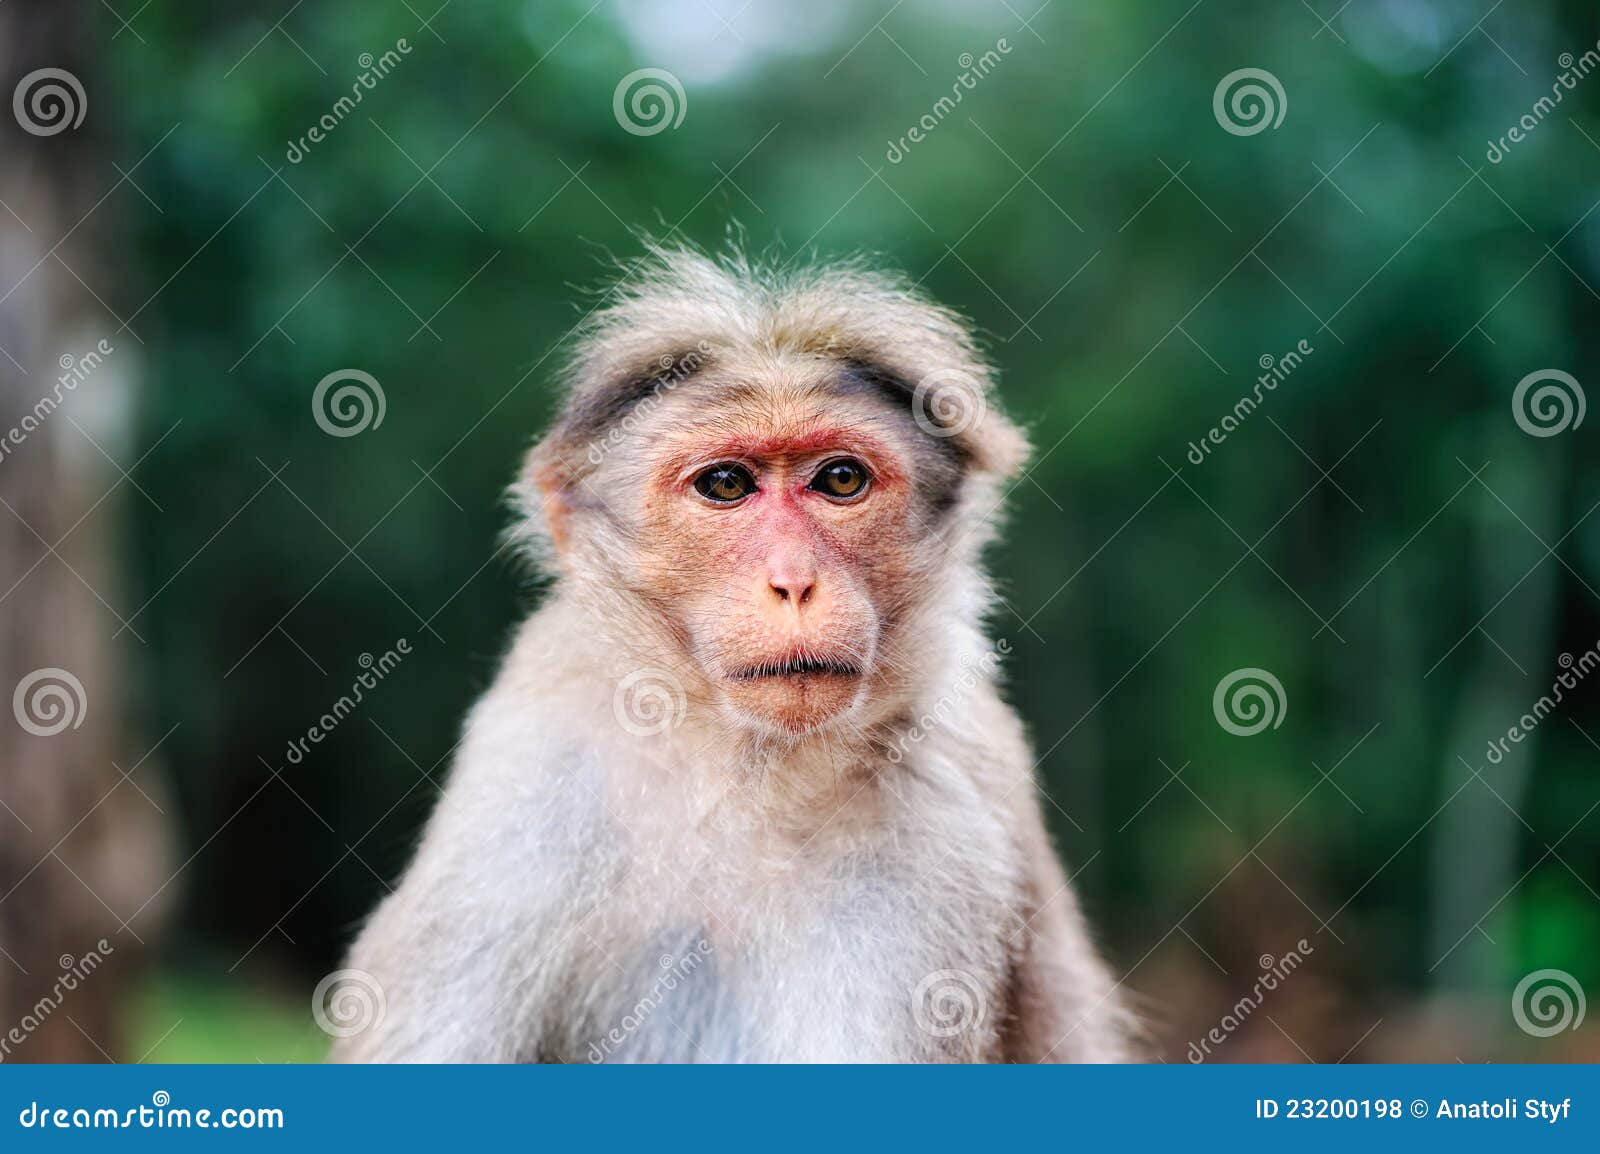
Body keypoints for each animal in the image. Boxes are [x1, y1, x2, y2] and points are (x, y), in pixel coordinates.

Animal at [330, 245, 1138, 1063]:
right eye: (726, 484)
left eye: (840, 479)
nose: (793, 582)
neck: (742, 769)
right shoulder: (529, 775)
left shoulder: (937, 823)